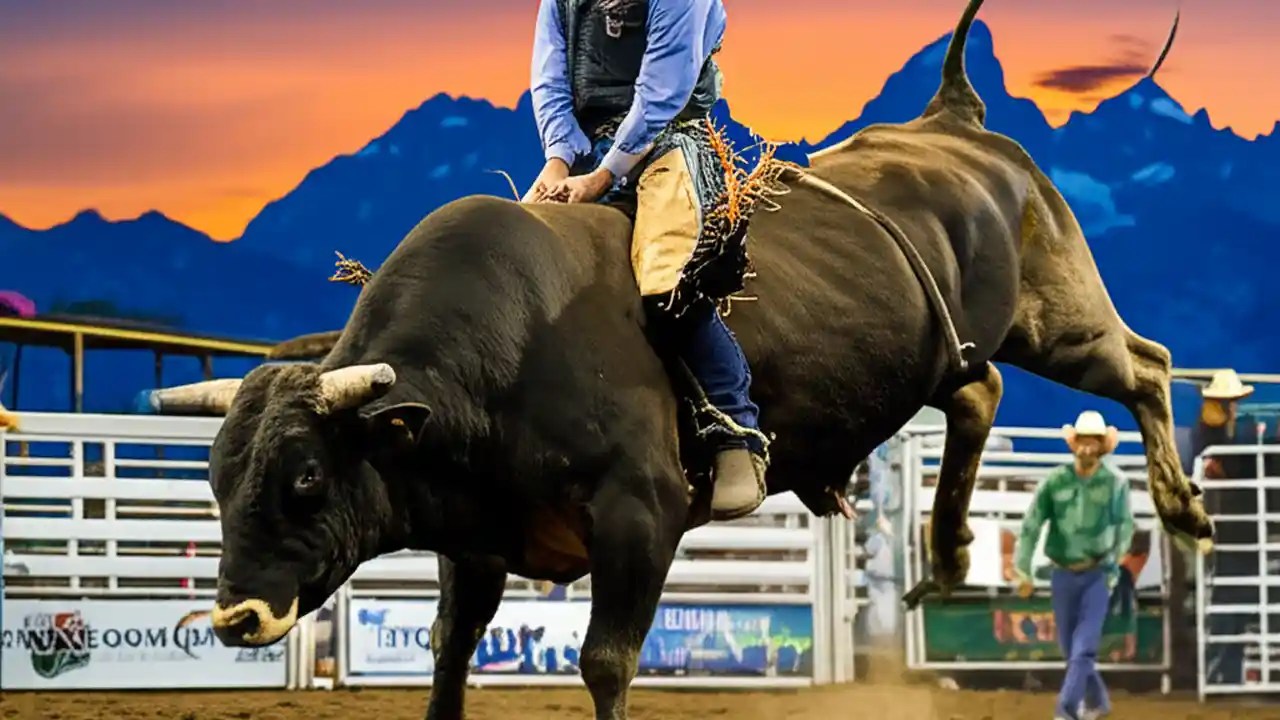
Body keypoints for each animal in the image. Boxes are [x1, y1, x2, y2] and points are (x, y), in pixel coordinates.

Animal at [142, 1, 1213, 717]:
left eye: (308, 478)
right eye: (216, 480)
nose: (236, 618)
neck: (506, 357)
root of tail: (953, 122)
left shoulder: (639, 515)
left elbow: (607, 662)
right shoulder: (475, 539)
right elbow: (448, 650)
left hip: (1059, 316)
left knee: (1145, 365)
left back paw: (1185, 510)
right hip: (967, 348)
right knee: (979, 388)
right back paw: (947, 554)